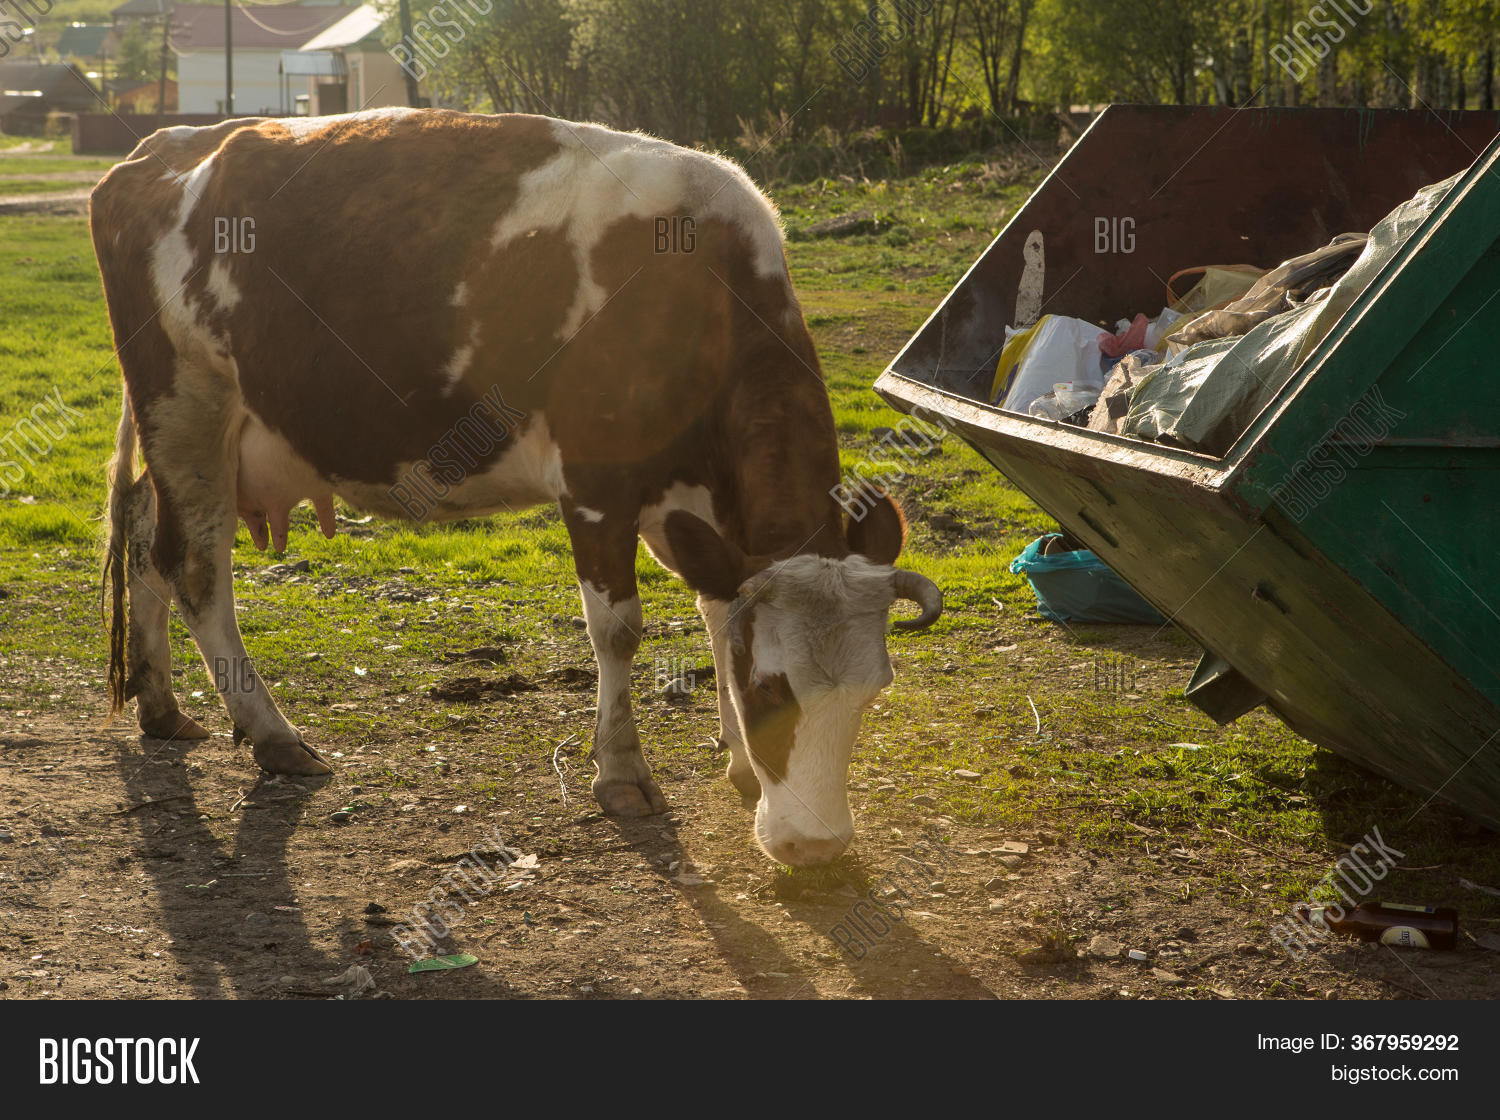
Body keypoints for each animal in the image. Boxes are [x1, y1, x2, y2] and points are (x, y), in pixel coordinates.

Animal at [91, 108, 942, 867]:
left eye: (871, 694)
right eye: (771, 691)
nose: (816, 849)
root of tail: (162, 147)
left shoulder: (701, 513)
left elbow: (718, 608)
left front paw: (735, 764)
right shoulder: (596, 484)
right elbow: (619, 630)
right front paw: (623, 773)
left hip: (186, 432)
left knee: (144, 537)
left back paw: (161, 706)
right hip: (188, 403)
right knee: (196, 568)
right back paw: (272, 735)